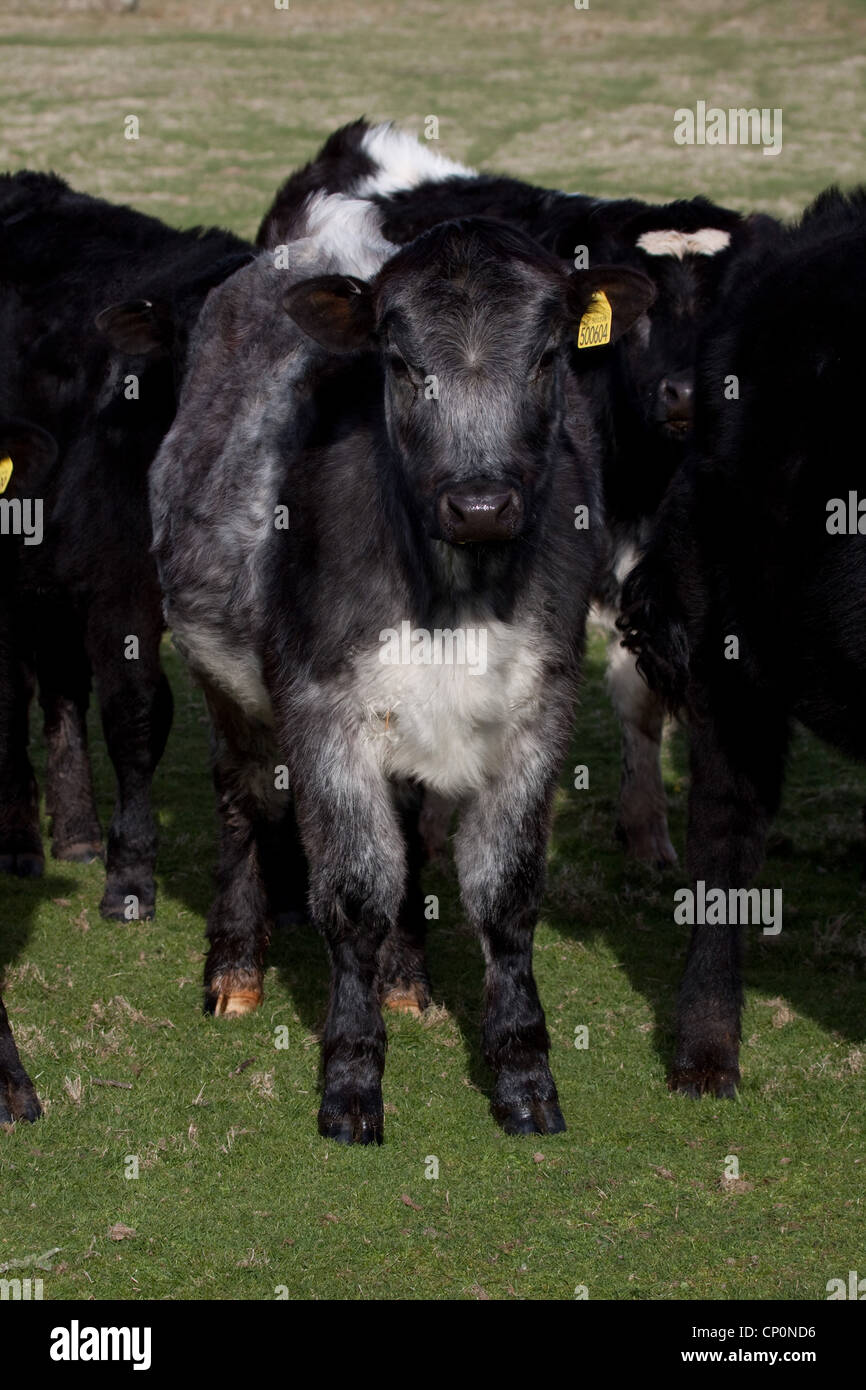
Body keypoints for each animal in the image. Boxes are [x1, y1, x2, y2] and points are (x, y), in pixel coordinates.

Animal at [0, 171, 252, 916]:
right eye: (192, 348)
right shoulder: (121, 586)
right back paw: (20, 841)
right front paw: (132, 873)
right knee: (11, 691)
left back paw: (77, 830)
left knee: (58, 685)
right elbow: (137, 709)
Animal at [150, 191, 655, 1143]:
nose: (481, 503)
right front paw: (350, 1080)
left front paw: (524, 1073)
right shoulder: (321, 714)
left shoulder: (539, 712)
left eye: (547, 356)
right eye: (398, 360)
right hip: (223, 682)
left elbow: (504, 894)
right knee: (241, 800)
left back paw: (408, 978)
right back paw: (234, 969)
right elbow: (353, 892)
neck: (457, 595)